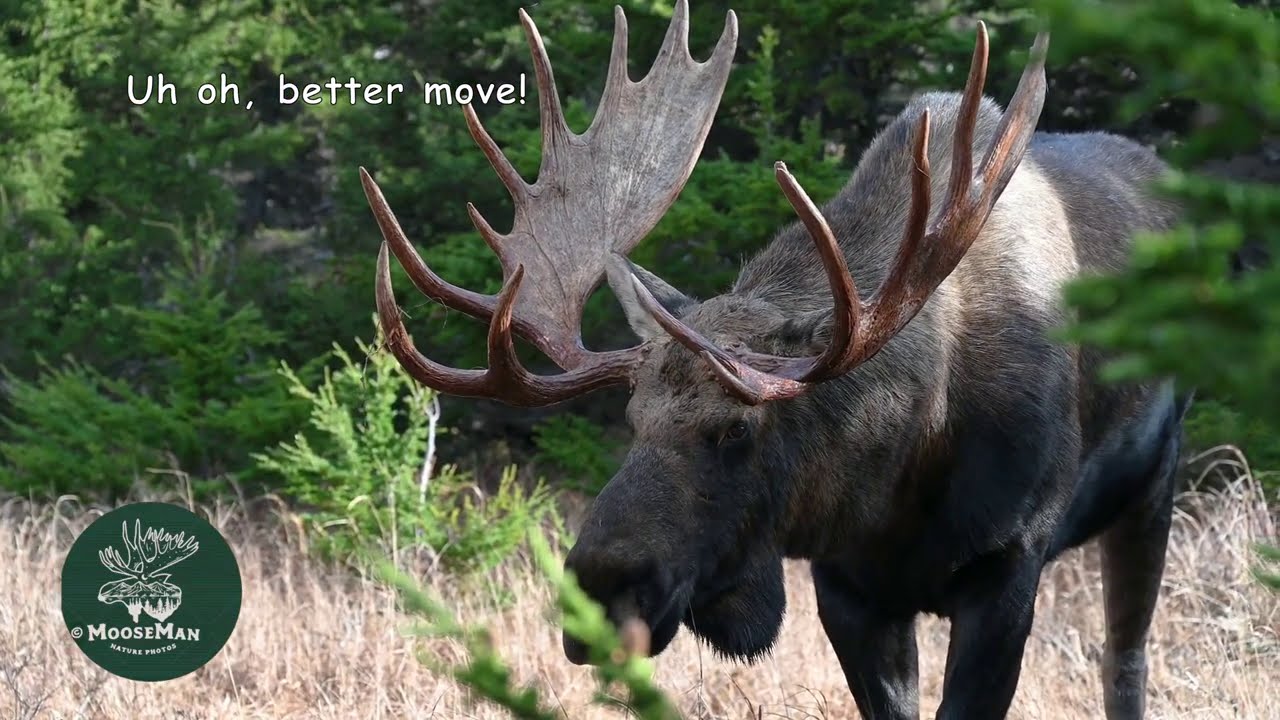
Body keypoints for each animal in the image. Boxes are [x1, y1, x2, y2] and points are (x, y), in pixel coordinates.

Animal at [358, 2, 1187, 718]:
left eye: (736, 431)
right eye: (633, 419)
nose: (600, 593)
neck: (908, 471)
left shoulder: (1008, 563)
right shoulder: (848, 588)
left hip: (1154, 488)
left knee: (1126, 658)